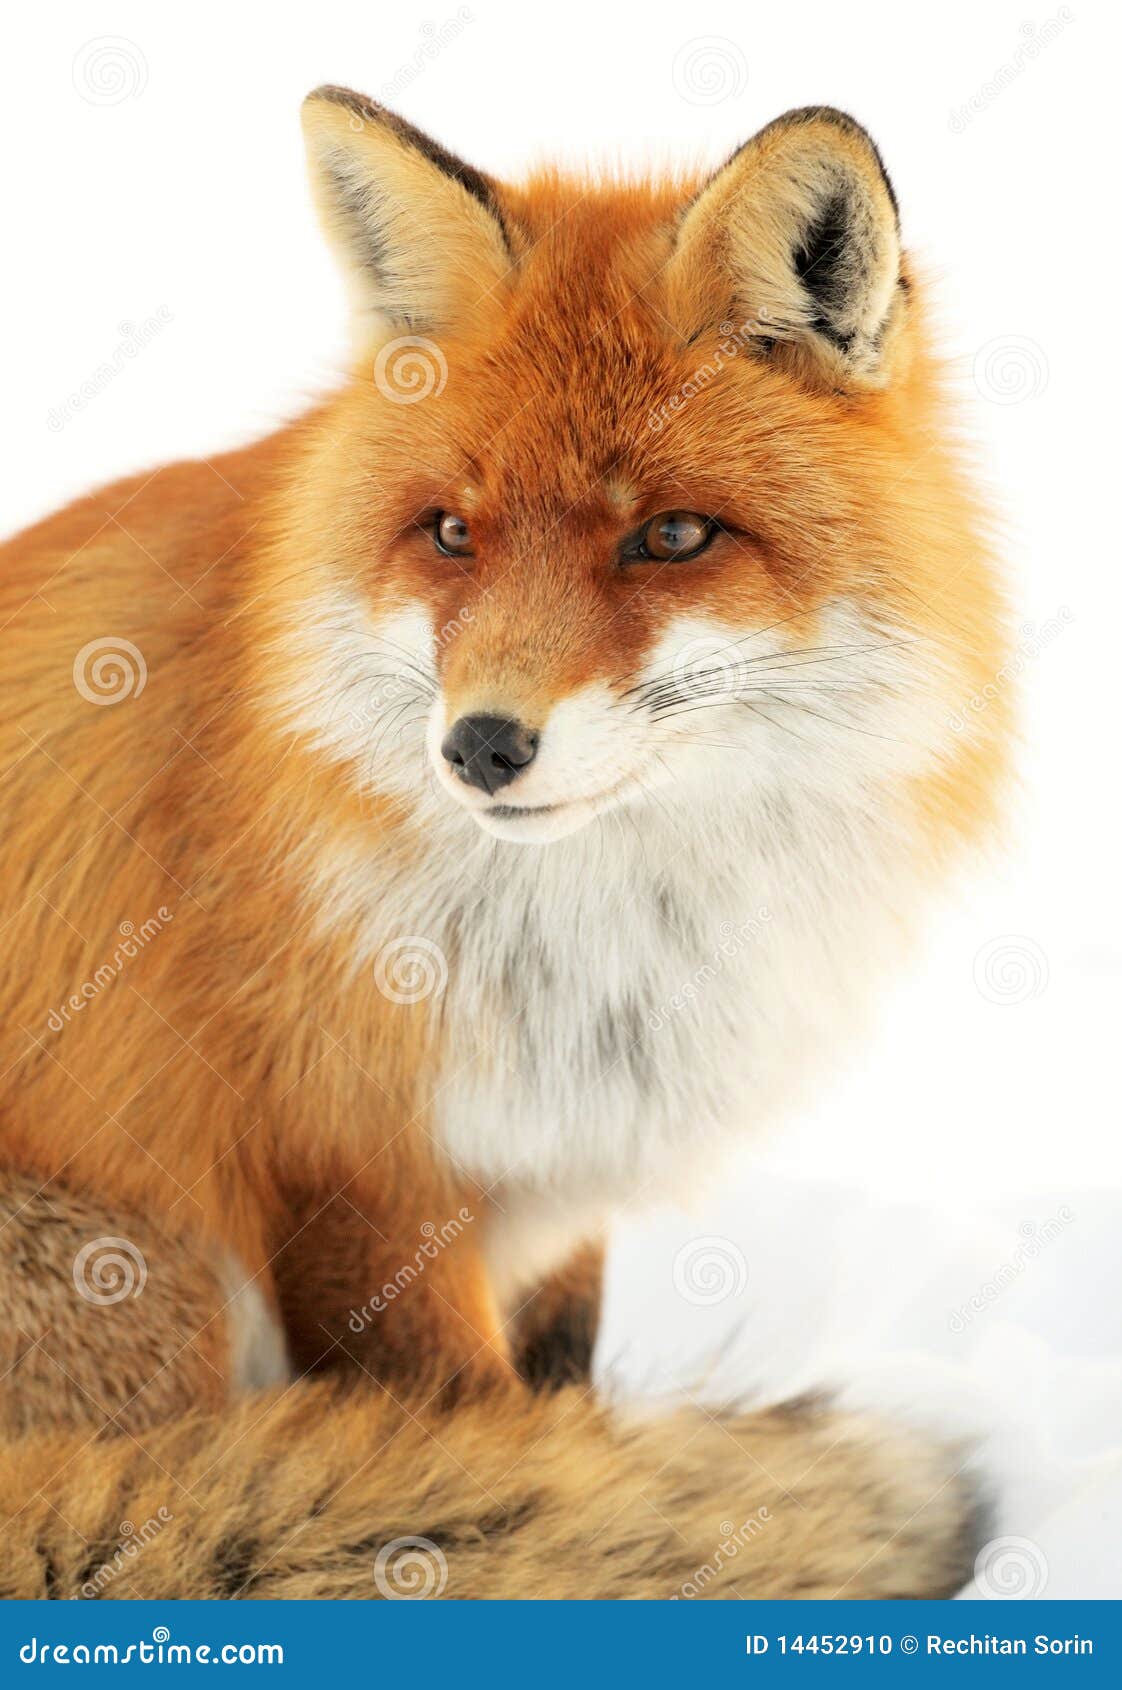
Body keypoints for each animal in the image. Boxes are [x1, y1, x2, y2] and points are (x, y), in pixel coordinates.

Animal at [0, 90, 1007, 1599]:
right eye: (450, 532)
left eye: (671, 535)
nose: (480, 745)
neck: (604, 938)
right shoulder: (352, 1177)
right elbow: (482, 1438)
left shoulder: (558, 1178)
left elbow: (561, 1405)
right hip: (153, 1280)